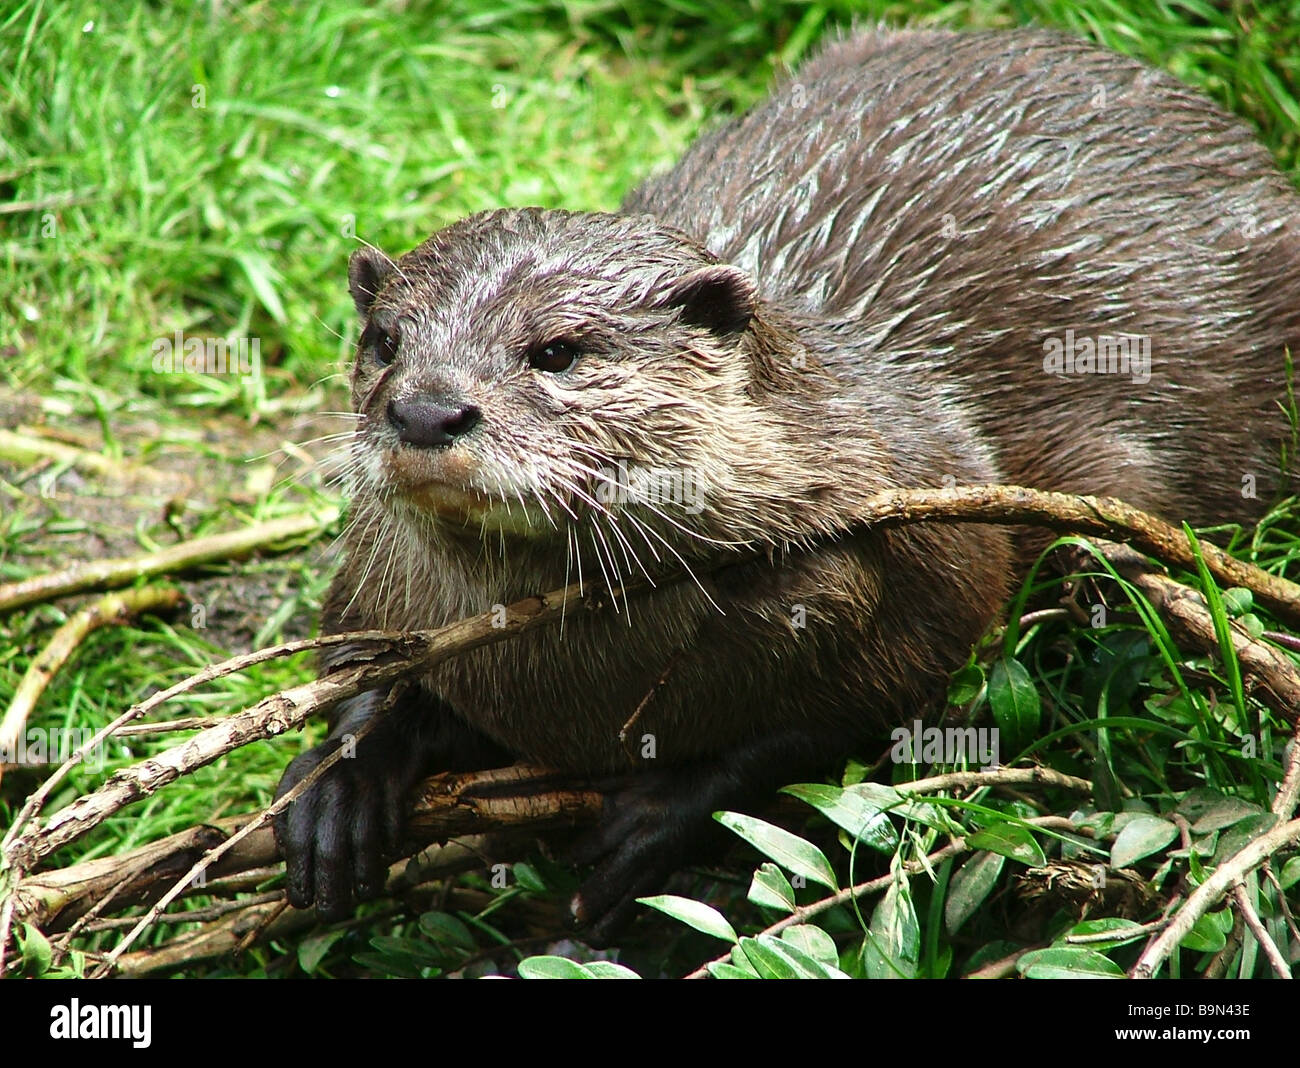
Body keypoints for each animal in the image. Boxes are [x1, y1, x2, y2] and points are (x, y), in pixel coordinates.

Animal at [275, 26, 1300, 940]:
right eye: (385, 341)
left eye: (557, 351)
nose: (426, 411)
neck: (575, 691)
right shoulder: (376, 578)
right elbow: (357, 656)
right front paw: (339, 782)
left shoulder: (930, 555)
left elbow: (857, 713)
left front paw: (662, 816)